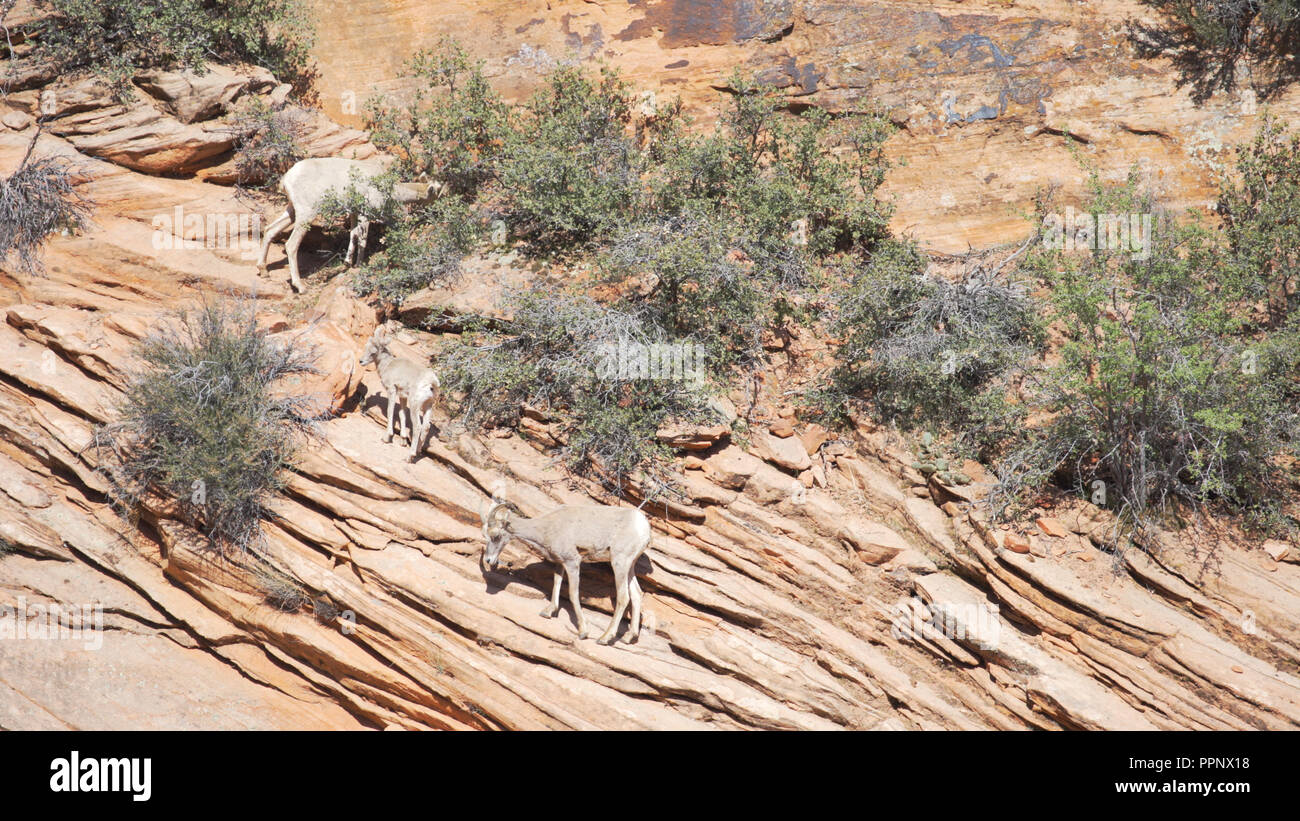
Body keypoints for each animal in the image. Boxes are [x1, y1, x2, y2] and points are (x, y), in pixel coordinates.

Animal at [255, 157, 443, 293]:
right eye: (437, 193)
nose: (440, 210)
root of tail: (287, 179)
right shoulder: (365, 213)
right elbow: (363, 238)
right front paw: (359, 265)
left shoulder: (354, 213)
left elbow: (353, 235)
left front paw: (347, 263)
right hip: (306, 215)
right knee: (291, 245)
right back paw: (301, 287)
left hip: (292, 211)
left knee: (270, 230)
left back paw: (263, 271)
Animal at [358, 324, 441, 462]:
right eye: (365, 347)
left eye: (373, 352)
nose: (361, 361)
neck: (388, 365)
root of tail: (432, 383)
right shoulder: (403, 397)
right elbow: (402, 415)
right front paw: (402, 440)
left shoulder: (392, 390)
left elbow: (390, 411)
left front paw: (386, 438)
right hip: (428, 405)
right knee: (426, 427)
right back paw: (418, 452)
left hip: (415, 404)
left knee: (418, 426)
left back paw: (409, 456)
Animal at [481, 496, 651, 645]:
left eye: (495, 535)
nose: (488, 560)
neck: (548, 526)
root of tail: (643, 526)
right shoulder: (561, 563)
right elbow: (556, 583)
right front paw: (548, 612)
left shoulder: (572, 562)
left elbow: (573, 594)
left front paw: (583, 632)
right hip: (629, 566)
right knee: (637, 594)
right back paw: (628, 637)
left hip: (619, 563)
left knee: (623, 597)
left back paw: (604, 638)